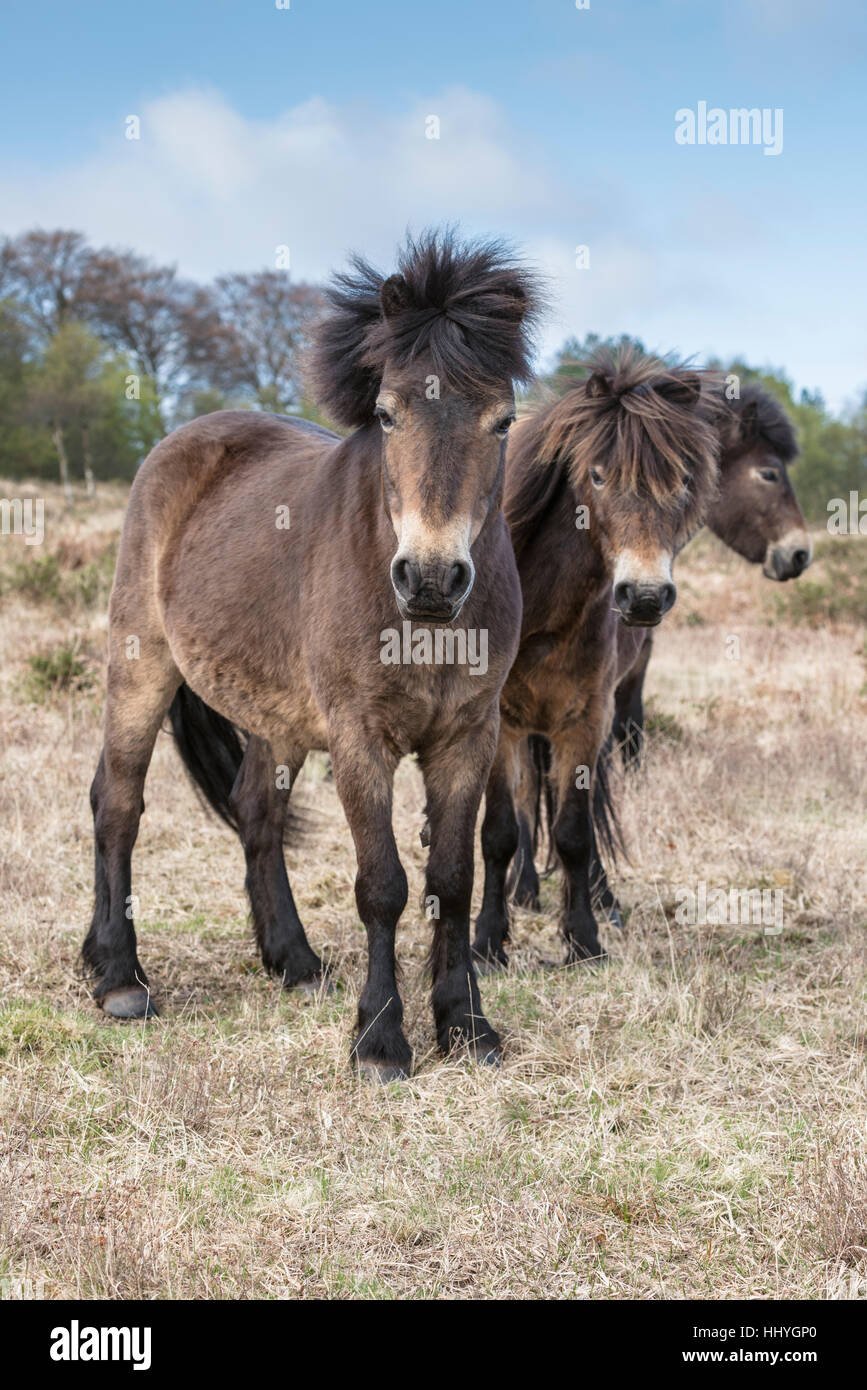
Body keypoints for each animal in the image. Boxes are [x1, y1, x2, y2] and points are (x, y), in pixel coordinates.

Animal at [82, 230, 543, 1080]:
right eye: (388, 414)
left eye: (503, 421)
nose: (431, 577)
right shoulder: (362, 739)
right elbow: (383, 886)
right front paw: (380, 1040)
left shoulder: (467, 737)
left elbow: (452, 879)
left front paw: (465, 1025)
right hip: (141, 666)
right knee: (117, 802)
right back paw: (119, 977)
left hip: (276, 720)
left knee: (256, 813)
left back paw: (291, 961)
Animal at [470, 347, 720, 970]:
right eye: (599, 475)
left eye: (683, 479)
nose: (645, 596)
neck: (541, 612)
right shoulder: (499, 723)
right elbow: (500, 831)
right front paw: (487, 940)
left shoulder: (586, 720)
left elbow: (575, 832)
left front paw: (583, 938)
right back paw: (523, 890)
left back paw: (600, 900)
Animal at [508, 381, 811, 918]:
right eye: (770, 473)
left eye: (686, 479)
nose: (799, 554)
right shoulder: (624, 680)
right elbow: (616, 760)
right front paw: (599, 892)